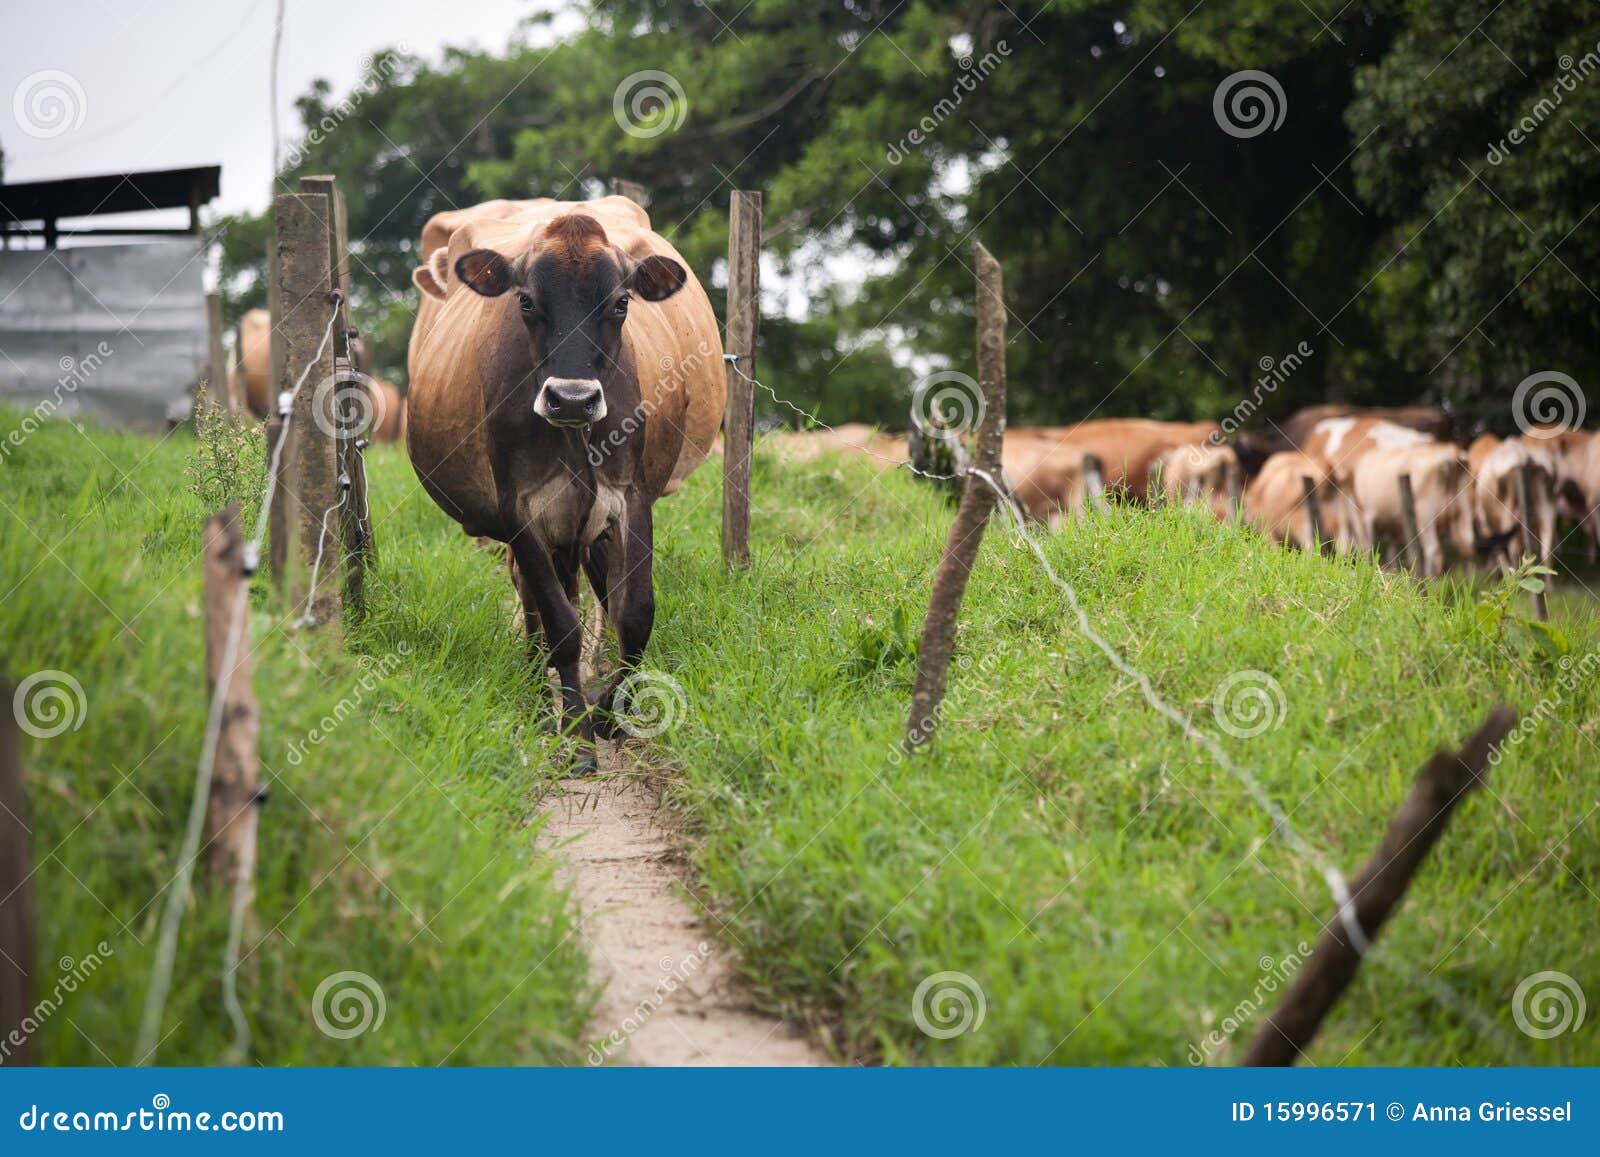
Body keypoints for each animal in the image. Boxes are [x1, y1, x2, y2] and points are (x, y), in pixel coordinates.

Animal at [405, 196, 725, 774]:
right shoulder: (519, 510)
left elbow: (634, 613)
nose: (572, 398)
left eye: (620, 303)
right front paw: (576, 737)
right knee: (537, 609)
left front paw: (610, 715)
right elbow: (560, 624)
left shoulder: (631, 500)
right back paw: (539, 706)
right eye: (526, 301)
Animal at [1350, 442, 1474, 576]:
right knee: (1468, 549)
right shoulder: (1393, 527)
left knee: (1432, 549)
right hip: (1464, 512)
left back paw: (1430, 578)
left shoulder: (1368, 516)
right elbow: (1392, 550)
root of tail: (1452, 452)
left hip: (1425, 514)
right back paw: (1469, 578)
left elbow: (1369, 546)